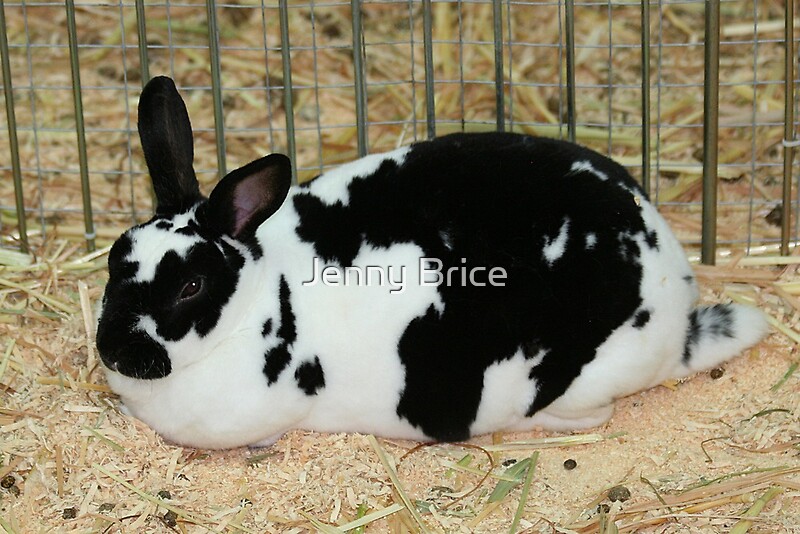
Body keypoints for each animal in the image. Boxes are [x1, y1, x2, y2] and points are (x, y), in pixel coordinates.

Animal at [96, 76, 769, 449]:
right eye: (116, 256)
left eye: (190, 285)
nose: (114, 352)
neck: (265, 299)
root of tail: (678, 313)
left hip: (581, 382)